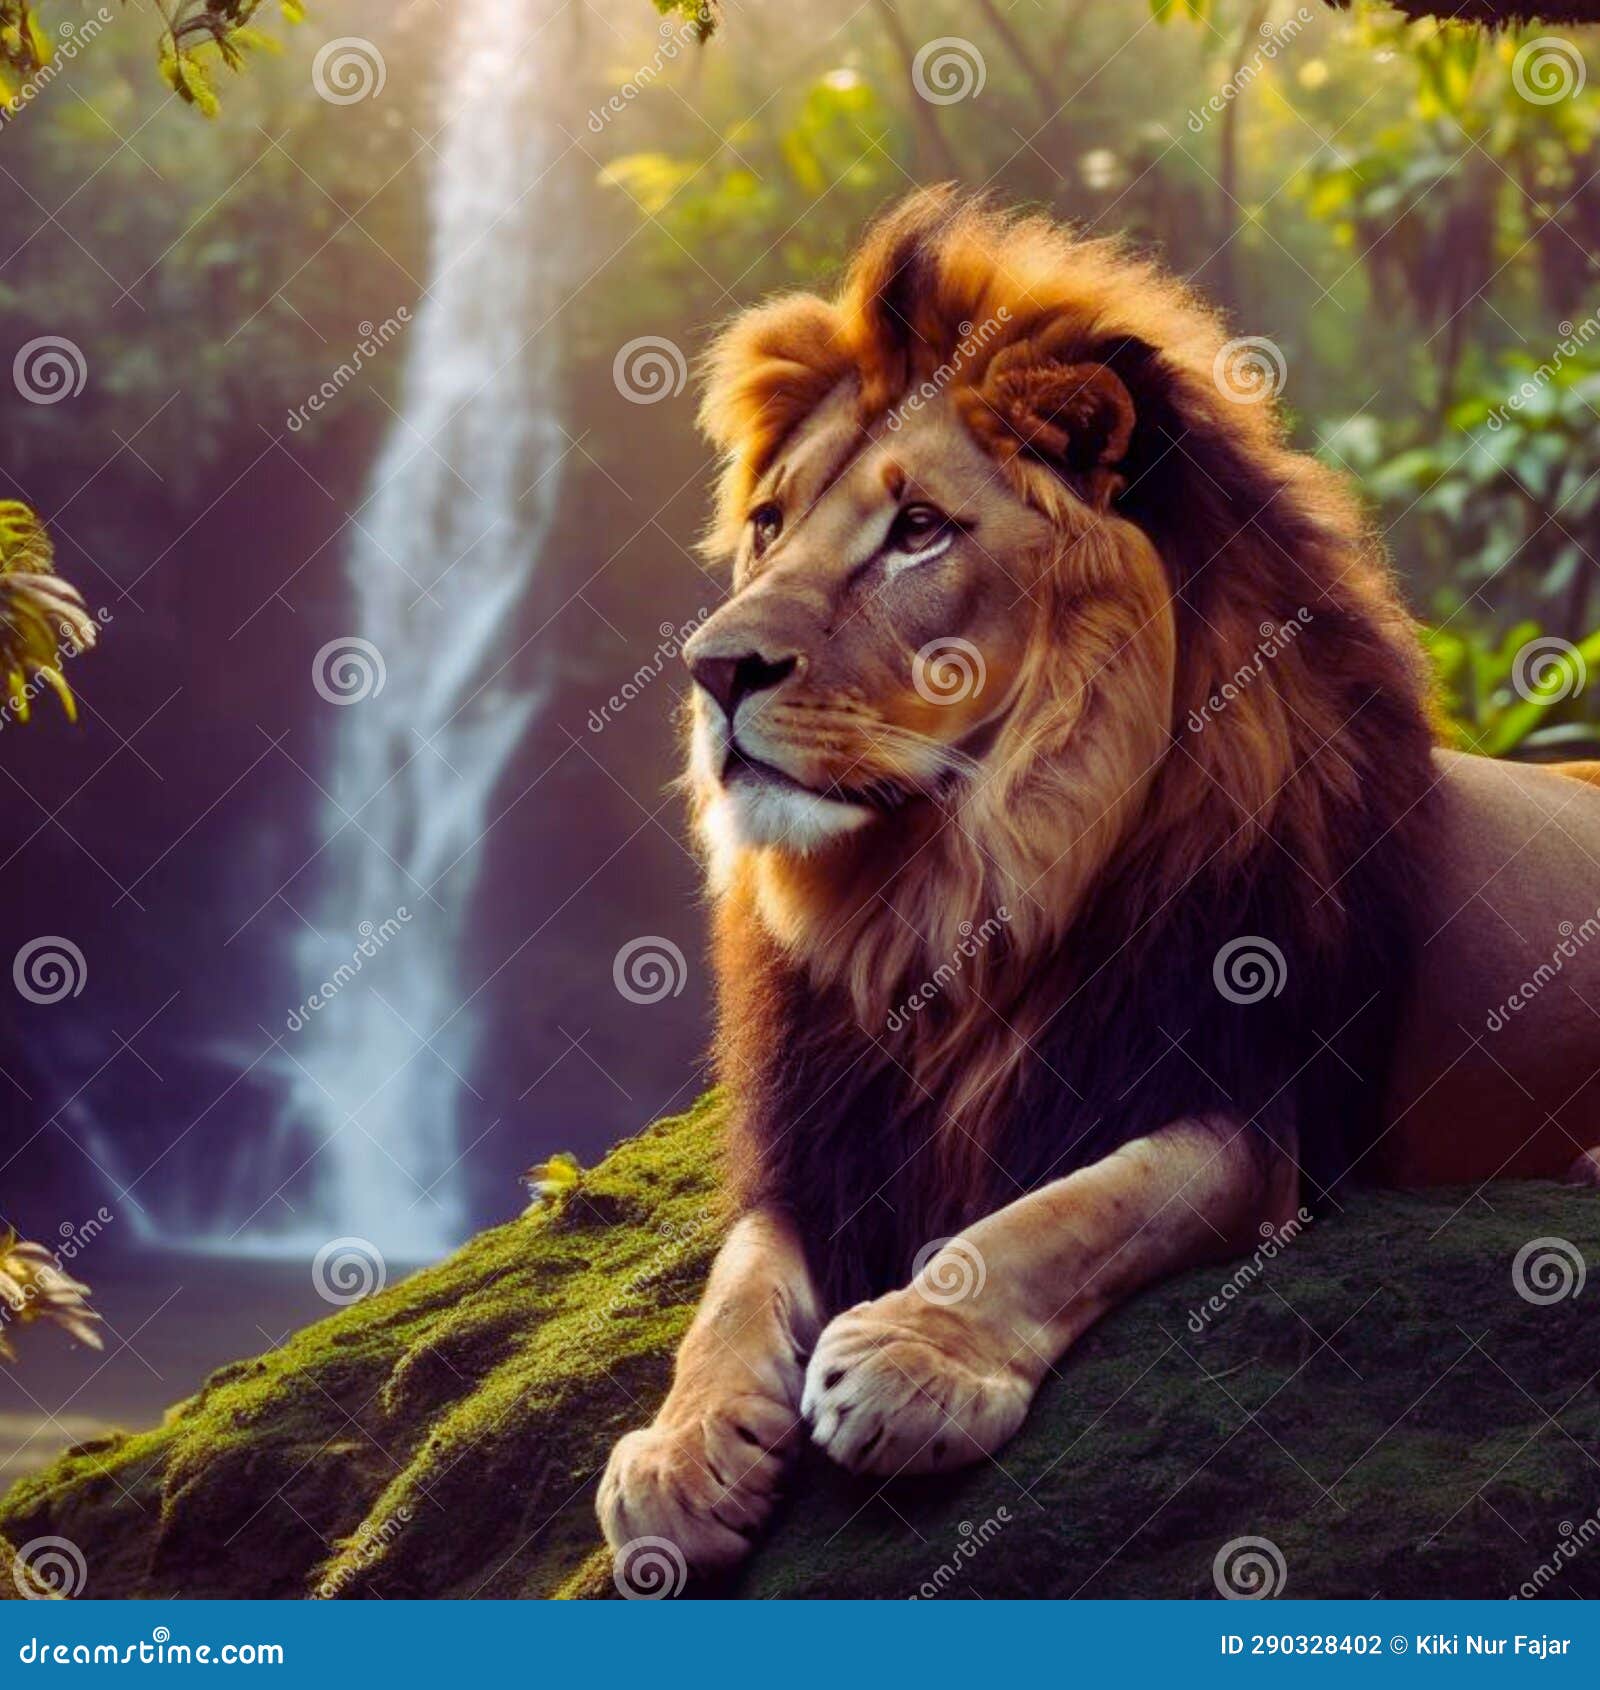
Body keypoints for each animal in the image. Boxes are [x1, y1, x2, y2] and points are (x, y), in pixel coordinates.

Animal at [596, 189, 1600, 1575]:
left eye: (917, 531)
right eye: (768, 526)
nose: (711, 668)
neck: (955, 890)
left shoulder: (1256, 1112)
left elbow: (1072, 1211)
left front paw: (913, 1356)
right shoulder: (821, 1130)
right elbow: (736, 1283)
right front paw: (676, 1452)